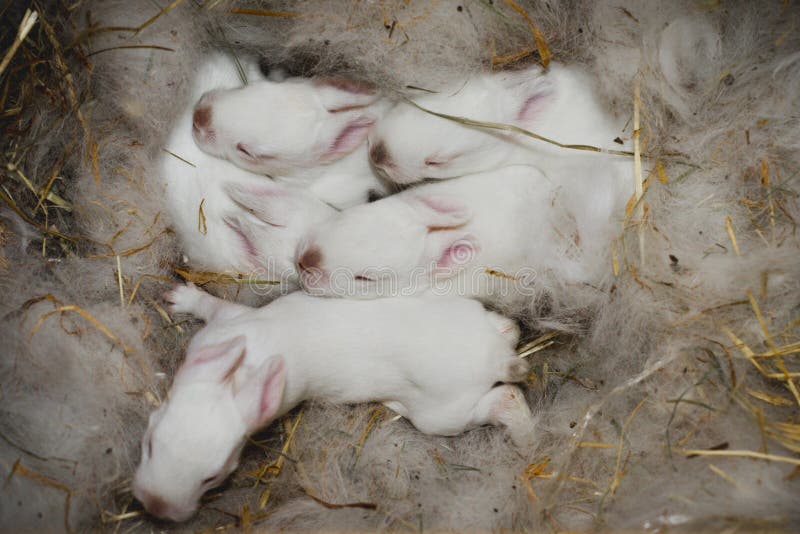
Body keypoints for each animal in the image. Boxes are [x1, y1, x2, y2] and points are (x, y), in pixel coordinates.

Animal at [132, 283, 535, 521]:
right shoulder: (226, 327)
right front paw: (180, 297)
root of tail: (496, 357)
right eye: (148, 444)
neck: (240, 375)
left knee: (505, 396)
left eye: (212, 477)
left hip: (444, 415)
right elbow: (211, 306)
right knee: (509, 328)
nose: (155, 506)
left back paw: (525, 437)